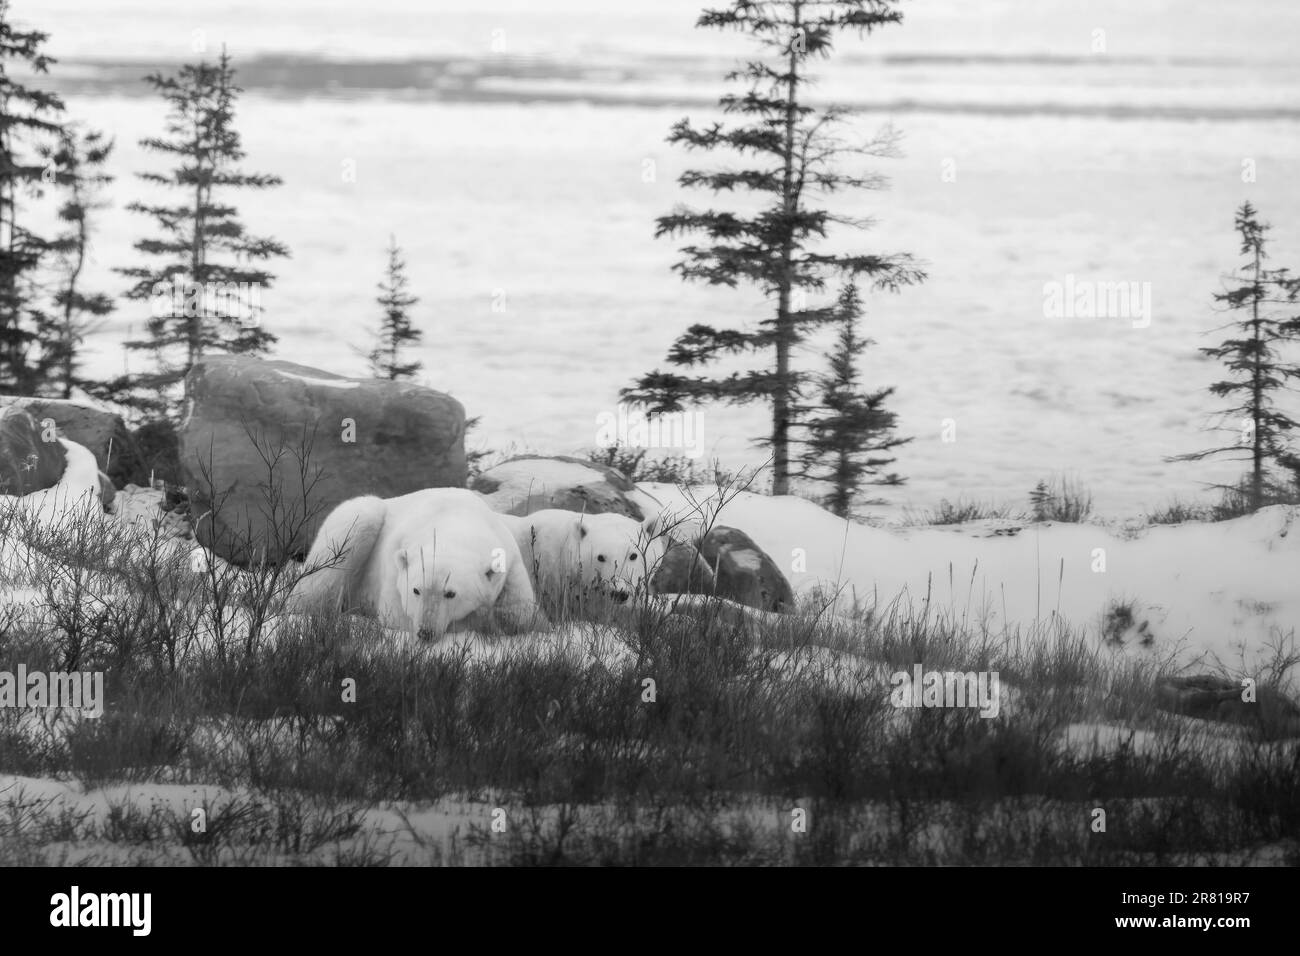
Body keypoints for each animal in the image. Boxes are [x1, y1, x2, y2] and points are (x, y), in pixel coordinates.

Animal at [286, 488, 542, 640]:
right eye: (416, 590)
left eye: (451, 593)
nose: (425, 631)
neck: (455, 520)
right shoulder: (395, 564)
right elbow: (396, 613)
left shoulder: (509, 556)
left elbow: (521, 613)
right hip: (356, 523)